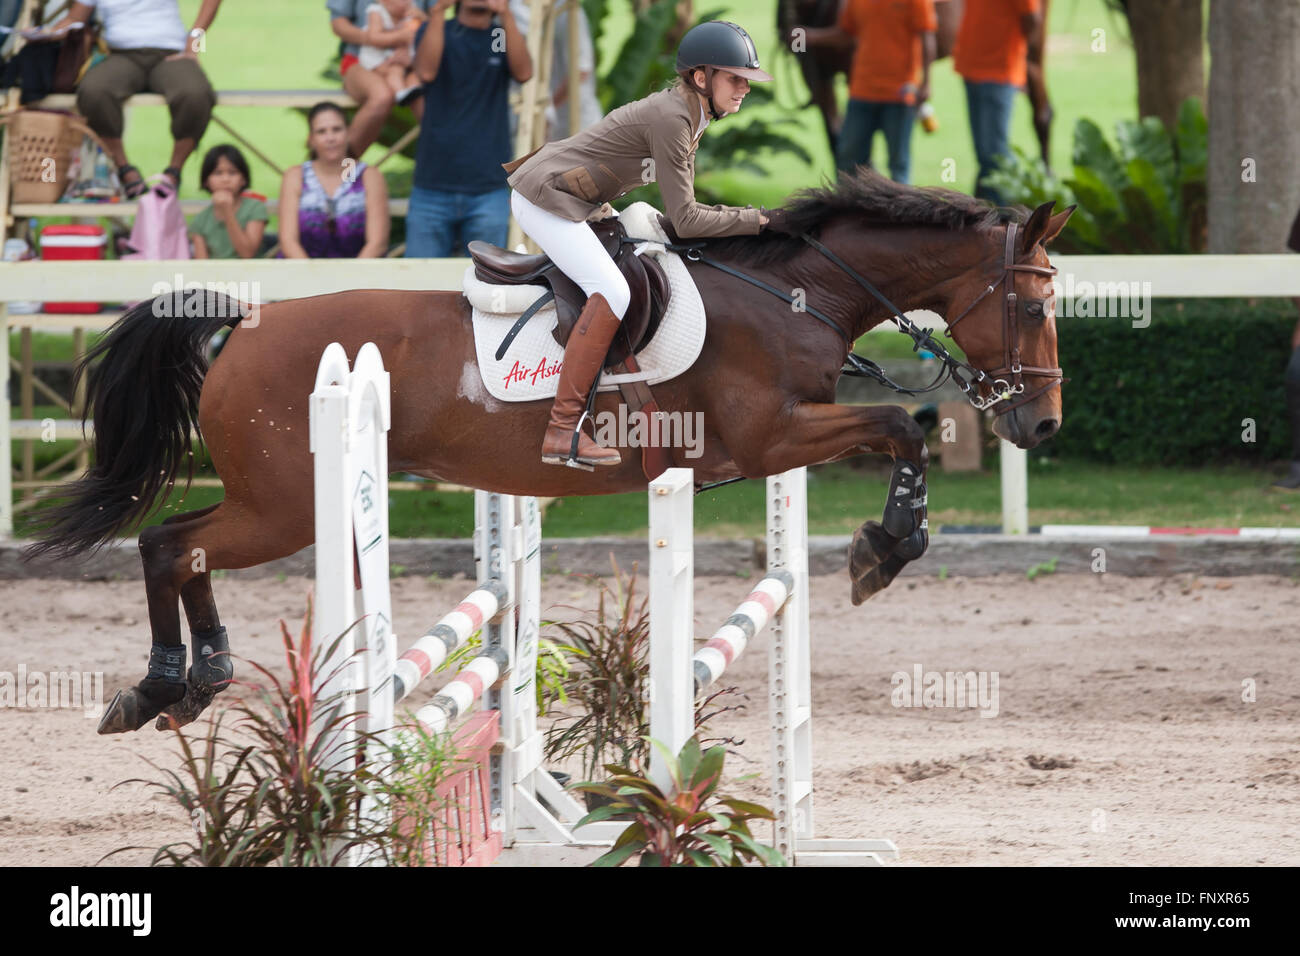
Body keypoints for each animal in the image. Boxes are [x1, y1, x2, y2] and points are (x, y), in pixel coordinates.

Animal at [26, 169, 1072, 735]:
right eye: (1033, 302)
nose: (1043, 428)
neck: (794, 291)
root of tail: (245, 319)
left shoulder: (771, 442)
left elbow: (904, 430)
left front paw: (883, 546)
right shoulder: (768, 435)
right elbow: (902, 427)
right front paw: (882, 552)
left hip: (267, 502)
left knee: (182, 546)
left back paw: (196, 684)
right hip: (284, 506)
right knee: (171, 544)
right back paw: (160, 686)